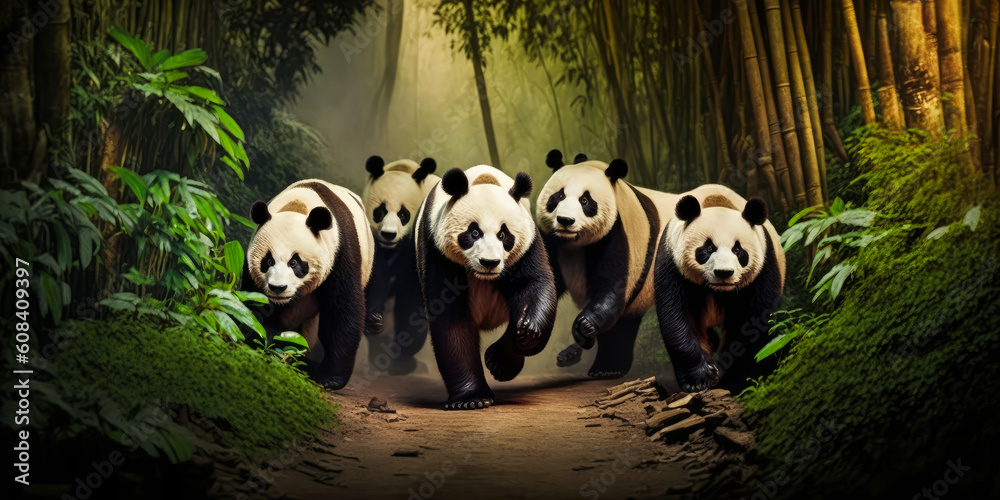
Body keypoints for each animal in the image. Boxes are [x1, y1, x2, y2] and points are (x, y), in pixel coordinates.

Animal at [242, 179, 375, 390]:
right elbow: (256, 308)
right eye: (268, 261)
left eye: (295, 262)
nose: (278, 288)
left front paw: (331, 377)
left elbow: (342, 311)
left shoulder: (340, 253)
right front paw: (269, 344)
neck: (298, 206)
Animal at [361, 156, 440, 375]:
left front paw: (405, 342)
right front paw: (373, 320)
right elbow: (376, 279)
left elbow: (411, 292)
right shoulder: (373, 239)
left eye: (403, 215)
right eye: (380, 211)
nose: (389, 234)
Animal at [415, 165, 557, 410]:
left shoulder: (528, 243)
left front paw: (528, 330)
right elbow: (450, 318)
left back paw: (500, 361)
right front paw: (471, 399)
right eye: (474, 233)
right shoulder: (436, 250)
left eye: (503, 235)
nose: (489, 262)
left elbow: (534, 283)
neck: (484, 180)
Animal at [537, 150, 679, 379]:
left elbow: (611, 286)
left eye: (585, 200)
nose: (565, 221)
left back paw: (605, 368)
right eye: (558, 196)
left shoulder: (619, 234)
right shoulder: (551, 240)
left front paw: (584, 326)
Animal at [653, 184, 785, 393]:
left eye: (738, 250)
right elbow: (675, 318)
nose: (723, 273)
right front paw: (698, 378)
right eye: (708, 248)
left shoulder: (765, 265)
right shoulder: (671, 261)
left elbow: (754, 325)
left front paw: (736, 380)